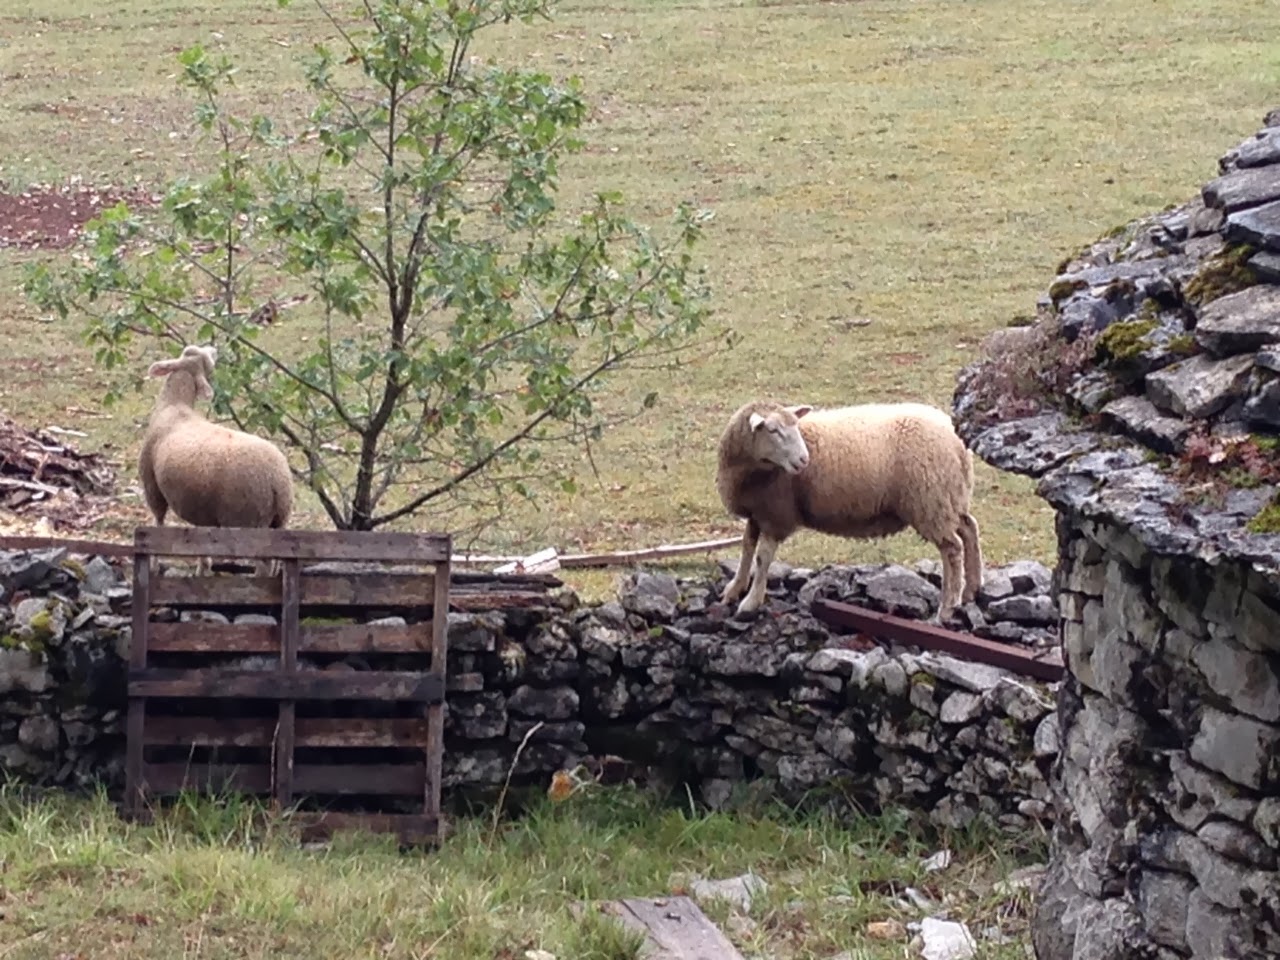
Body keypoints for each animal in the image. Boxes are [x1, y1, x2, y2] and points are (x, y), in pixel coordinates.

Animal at [139, 344, 294, 576]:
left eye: (209, 365)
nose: (214, 347)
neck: (175, 407)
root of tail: (278, 483)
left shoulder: (152, 486)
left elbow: (157, 523)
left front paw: (154, 563)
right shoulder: (201, 508)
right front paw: (202, 571)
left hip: (250, 522)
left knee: (264, 565)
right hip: (278, 522)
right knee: (275, 561)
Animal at [715, 399, 983, 623]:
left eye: (795, 427)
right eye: (772, 430)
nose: (804, 460)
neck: (752, 473)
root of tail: (958, 441)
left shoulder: (776, 514)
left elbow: (762, 558)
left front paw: (750, 603)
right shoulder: (757, 512)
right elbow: (747, 548)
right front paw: (734, 589)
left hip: (930, 501)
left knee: (952, 548)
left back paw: (948, 607)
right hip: (950, 499)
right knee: (969, 529)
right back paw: (971, 589)